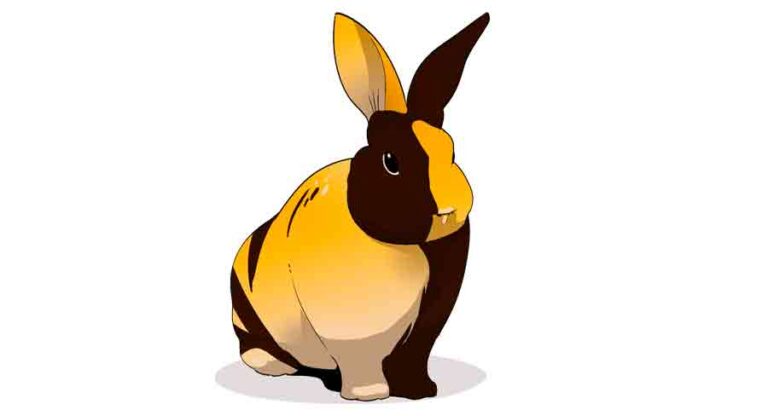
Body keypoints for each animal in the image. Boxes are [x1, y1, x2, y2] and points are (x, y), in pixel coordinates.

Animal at [230, 12, 489, 401]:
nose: (448, 210)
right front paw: (369, 395)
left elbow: (414, 355)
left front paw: (421, 392)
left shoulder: (426, 327)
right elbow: (361, 361)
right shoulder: (352, 334)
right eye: (391, 161)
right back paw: (274, 366)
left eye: (452, 150)